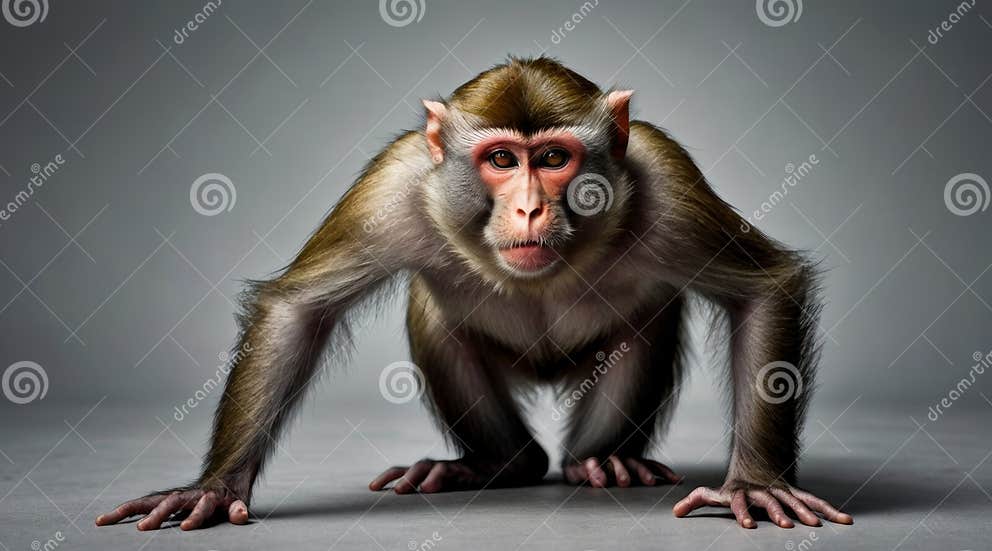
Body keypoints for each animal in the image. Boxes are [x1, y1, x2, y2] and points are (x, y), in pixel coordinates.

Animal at [96, 57, 853, 531]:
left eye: (554, 158)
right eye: (500, 159)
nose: (527, 207)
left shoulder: (668, 182)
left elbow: (763, 289)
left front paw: (755, 484)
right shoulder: (393, 185)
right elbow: (299, 308)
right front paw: (213, 488)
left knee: (649, 321)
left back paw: (601, 459)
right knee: (436, 319)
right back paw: (497, 462)